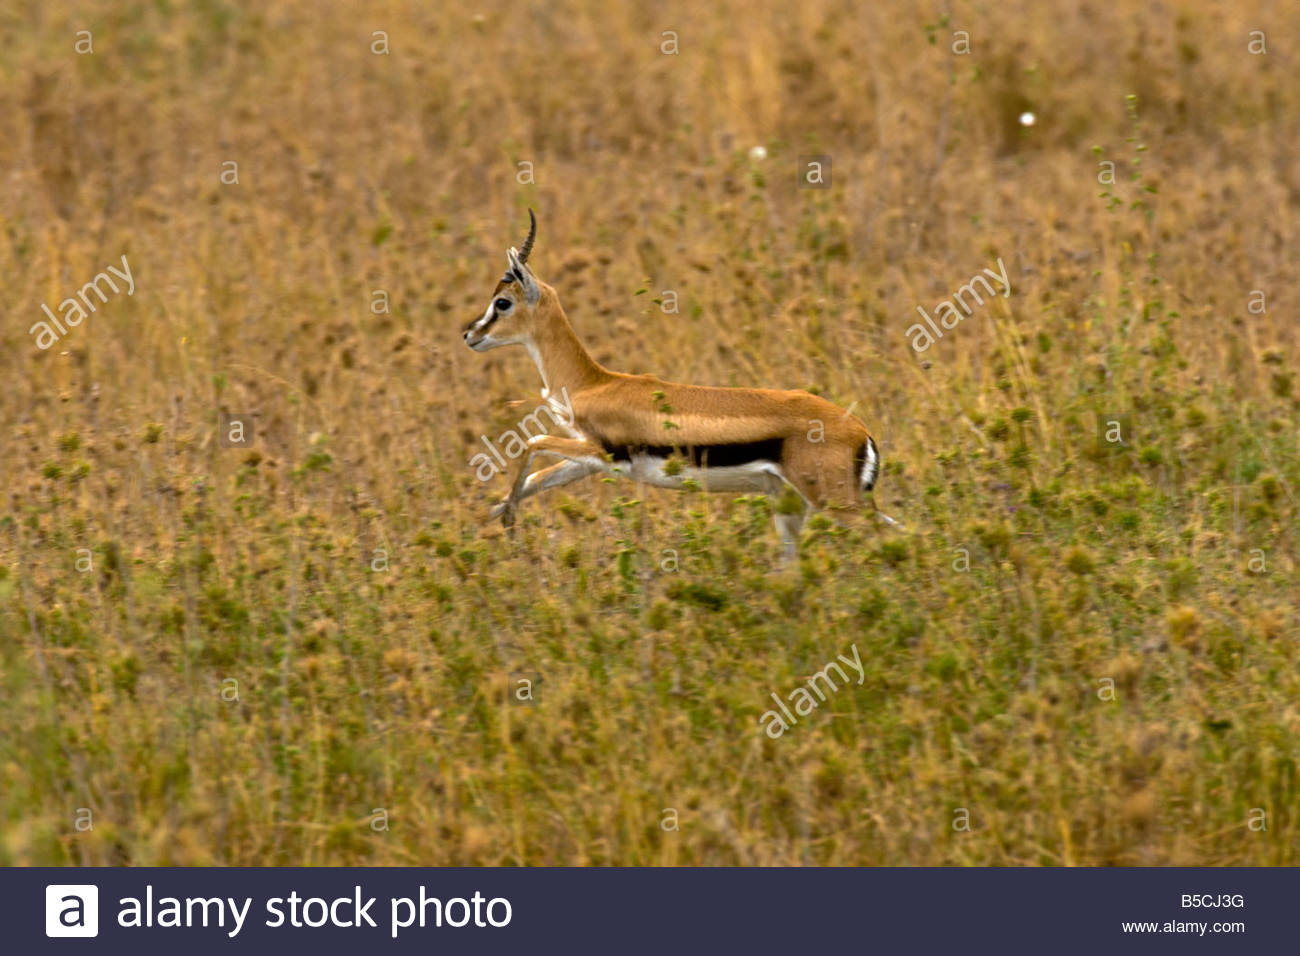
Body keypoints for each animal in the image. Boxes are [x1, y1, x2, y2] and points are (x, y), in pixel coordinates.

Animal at [462, 211, 897, 559]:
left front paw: (508, 521)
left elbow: (533, 443)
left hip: (835, 503)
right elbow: (539, 478)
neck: (593, 382)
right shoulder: (589, 460)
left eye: (502, 302)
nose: (469, 335)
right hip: (793, 505)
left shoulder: (602, 453)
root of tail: (861, 431)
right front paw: (495, 516)